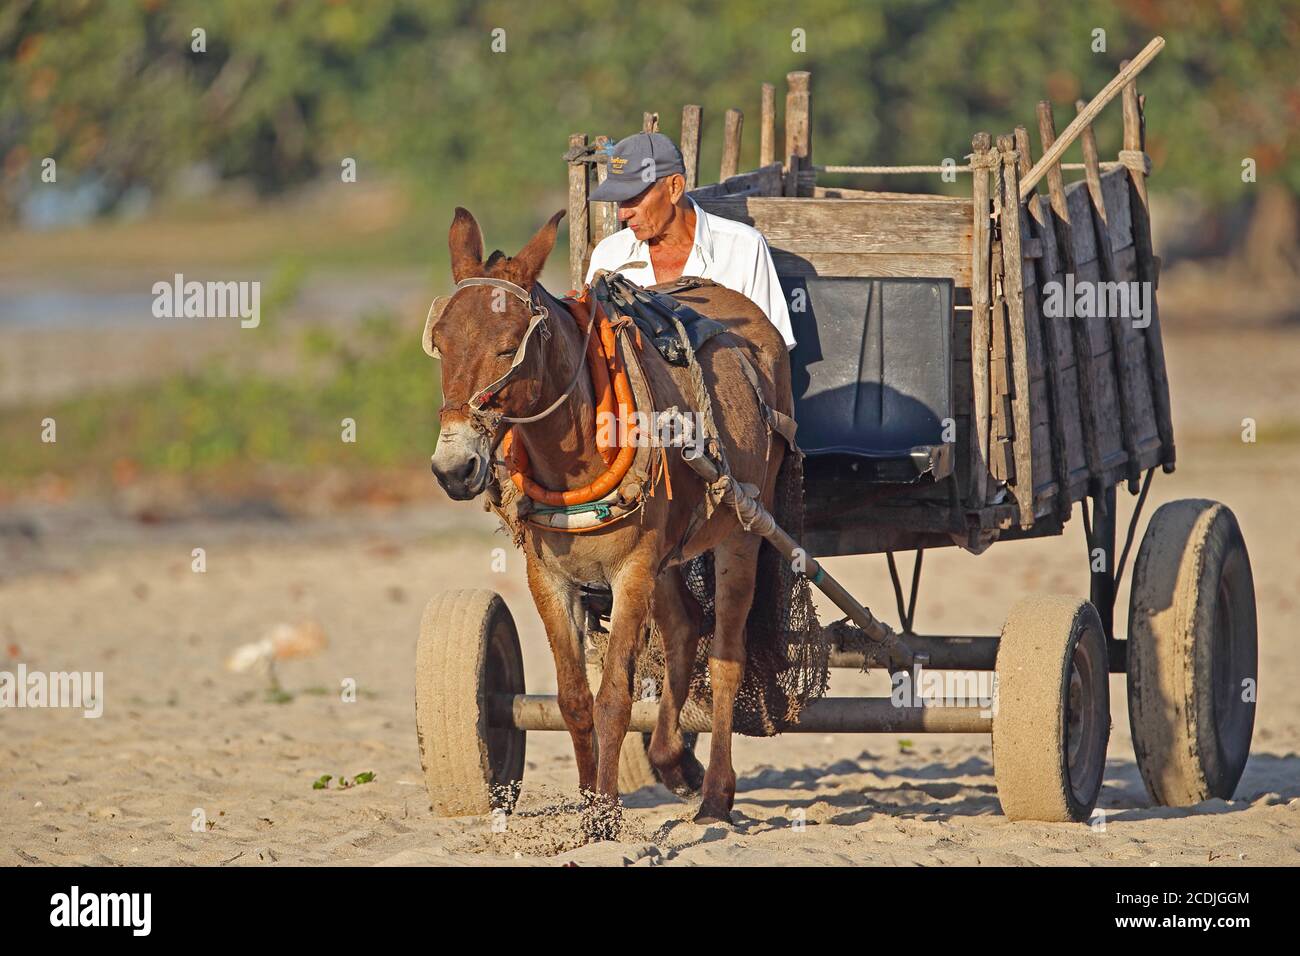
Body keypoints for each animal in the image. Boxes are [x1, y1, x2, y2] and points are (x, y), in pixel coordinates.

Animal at [429, 207, 792, 833]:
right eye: (441, 344)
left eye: (508, 348)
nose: (455, 467)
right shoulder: (550, 578)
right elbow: (575, 699)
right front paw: (588, 806)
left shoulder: (631, 573)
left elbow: (615, 698)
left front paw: (605, 817)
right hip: (669, 558)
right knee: (683, 630)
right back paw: (673, 761)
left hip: (741, 530)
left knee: (725, 657)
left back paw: (716, 797)